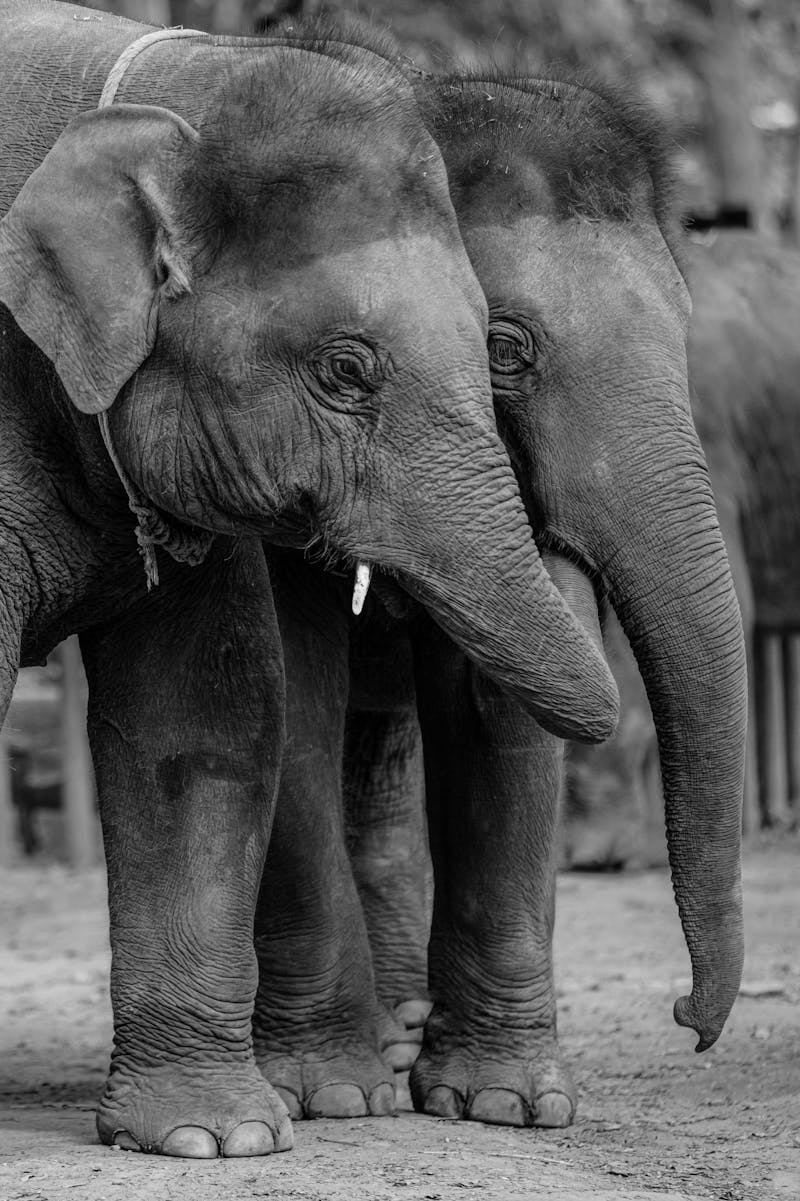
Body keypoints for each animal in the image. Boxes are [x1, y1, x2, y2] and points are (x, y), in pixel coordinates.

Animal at [251, 73, 748, 1128]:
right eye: (503, 348)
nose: (687, 1018)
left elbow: (496, 709)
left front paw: (507, 1104)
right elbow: (286, 680)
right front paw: (329, 1094)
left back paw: (401, 1028)